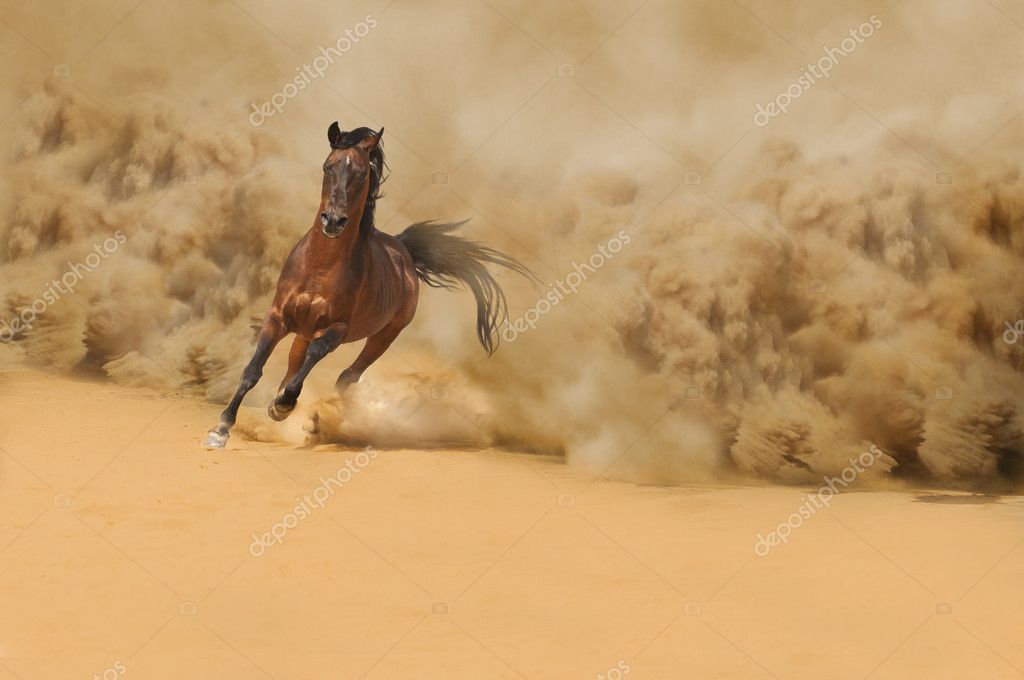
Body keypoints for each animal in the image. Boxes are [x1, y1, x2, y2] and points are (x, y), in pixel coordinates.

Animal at [205, 123, 533, 448]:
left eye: (362, 173)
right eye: (328, 166)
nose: (333, 221)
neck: (320, 267)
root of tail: (403, 250)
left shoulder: (337, 329)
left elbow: (314, 358)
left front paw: (284, 405)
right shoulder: (277, 317)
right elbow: (253, 370)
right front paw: (222, 429)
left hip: (383, 336)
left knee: (346, 376)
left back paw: (317, 418)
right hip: (304, 331)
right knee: (296, 365)